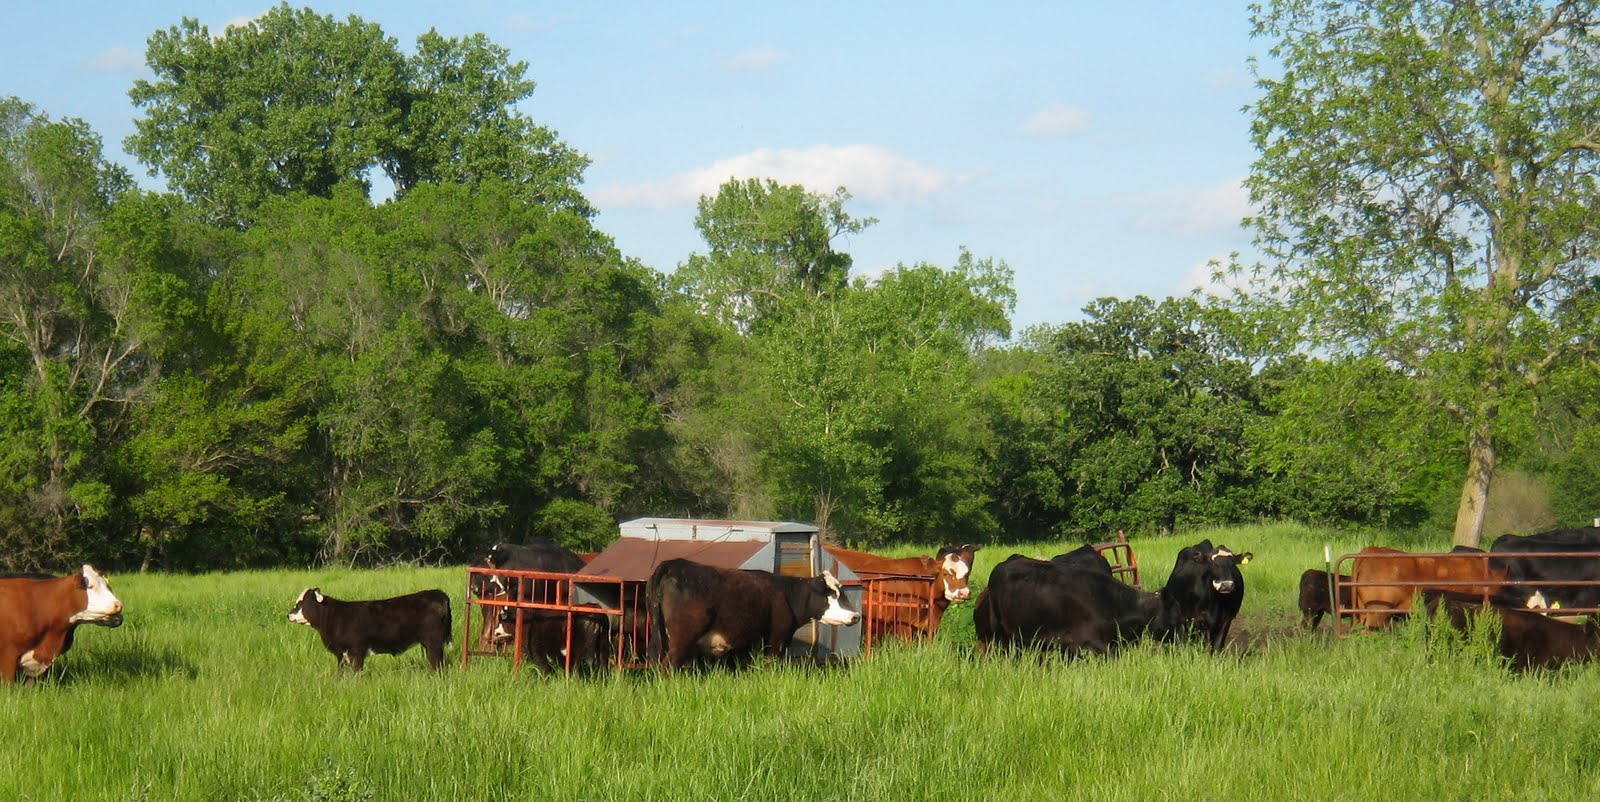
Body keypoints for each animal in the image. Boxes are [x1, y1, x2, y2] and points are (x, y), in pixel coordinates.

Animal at [287, 588, 452, 672]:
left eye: (300, 603)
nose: (288, 615)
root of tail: (438, 593)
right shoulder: (341, 654)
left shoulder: (356, 651)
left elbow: (356, 672)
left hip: (434, 643)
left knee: (438, 663)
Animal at [647, 559, 861, 670]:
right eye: (833, 593)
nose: (856, 616)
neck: (785, 594)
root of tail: (672, 564)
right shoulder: (775, 641)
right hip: (682, 639)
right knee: (668, 666)